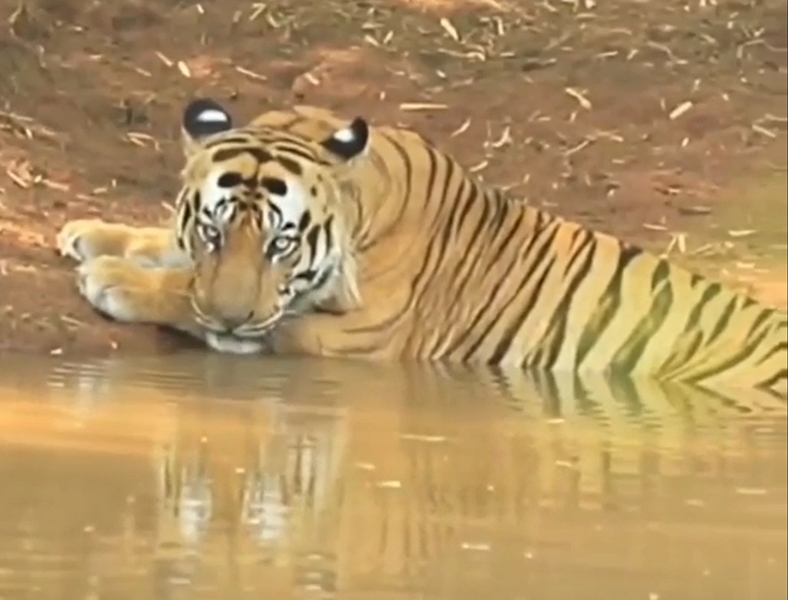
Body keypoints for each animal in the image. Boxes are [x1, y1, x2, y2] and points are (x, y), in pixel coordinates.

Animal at [56, 98, 788, 399]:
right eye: (213, 231)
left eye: (281, 244)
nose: (233, 322)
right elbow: (171, 250)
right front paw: (88, 232)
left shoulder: (350, 335)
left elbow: (186, 293)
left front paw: (113, 278)